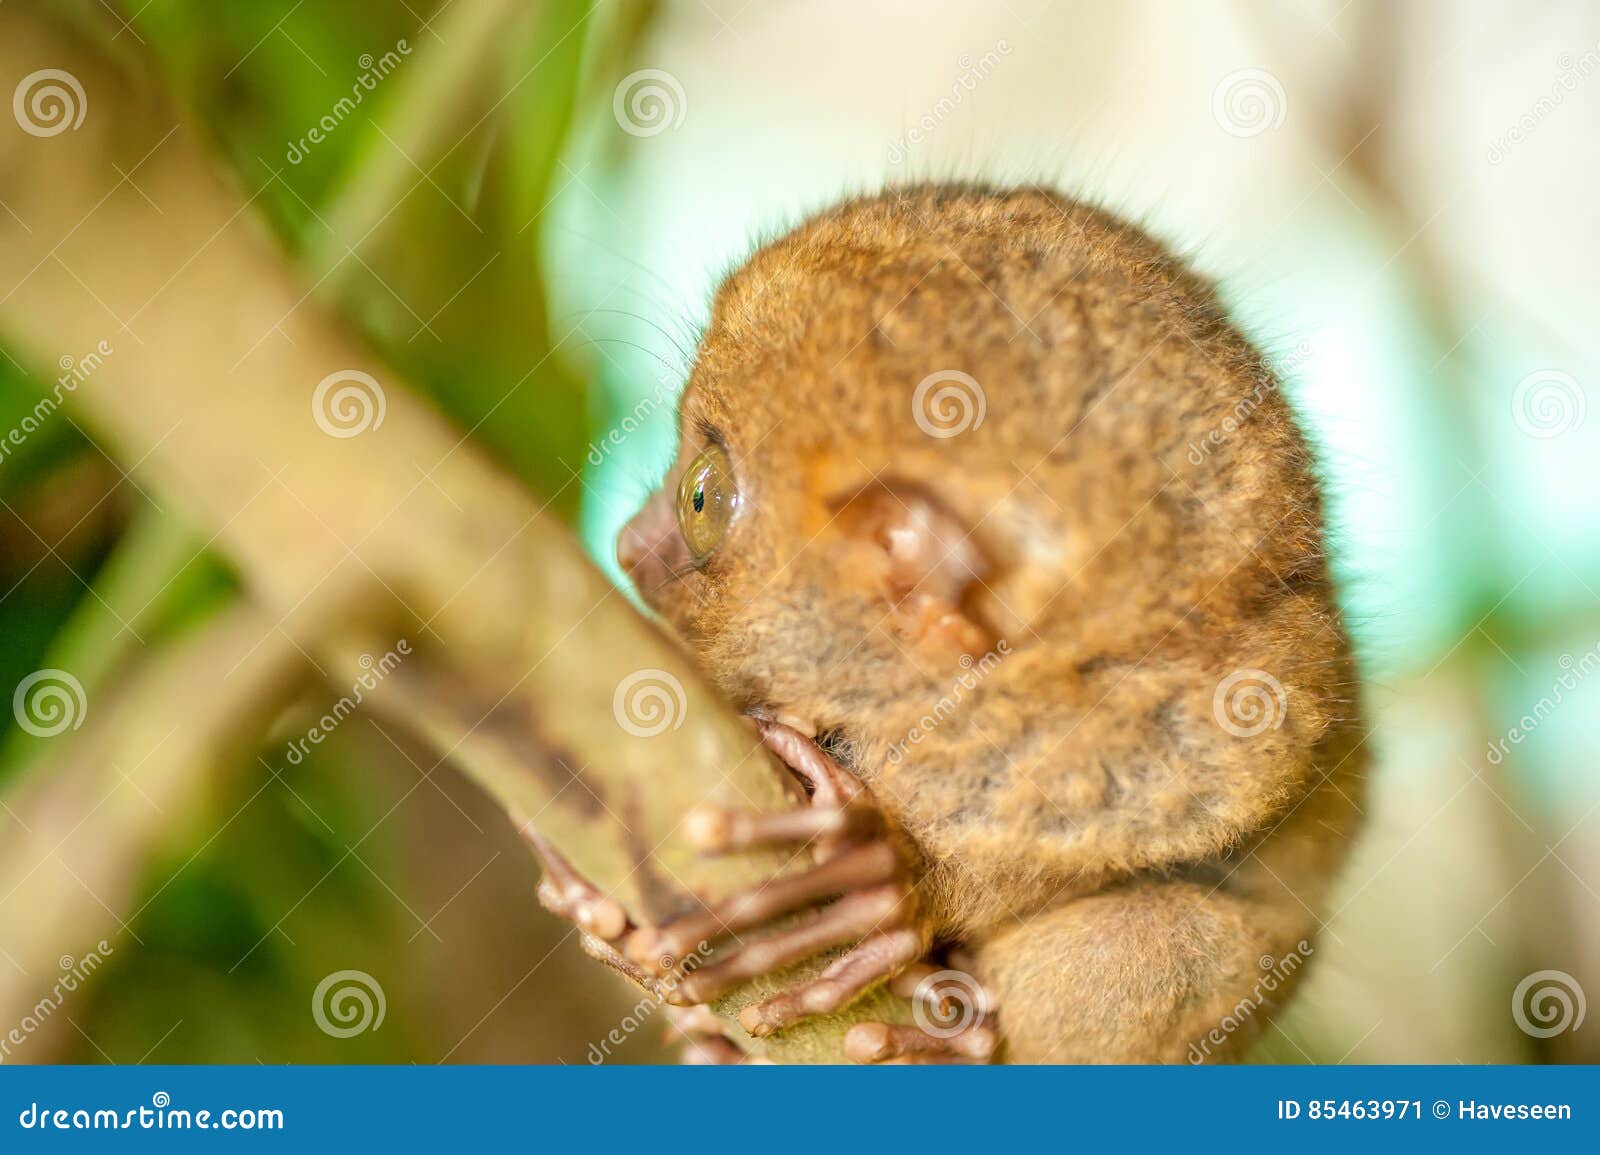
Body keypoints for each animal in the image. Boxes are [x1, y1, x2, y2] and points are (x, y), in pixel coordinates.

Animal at [533, 184, 1365, 1063]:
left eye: (699, 499)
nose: (627, 542)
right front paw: (591, 903)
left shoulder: (1224, 691)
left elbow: (1224, 773)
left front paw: (892, 880)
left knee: (1176, 943)